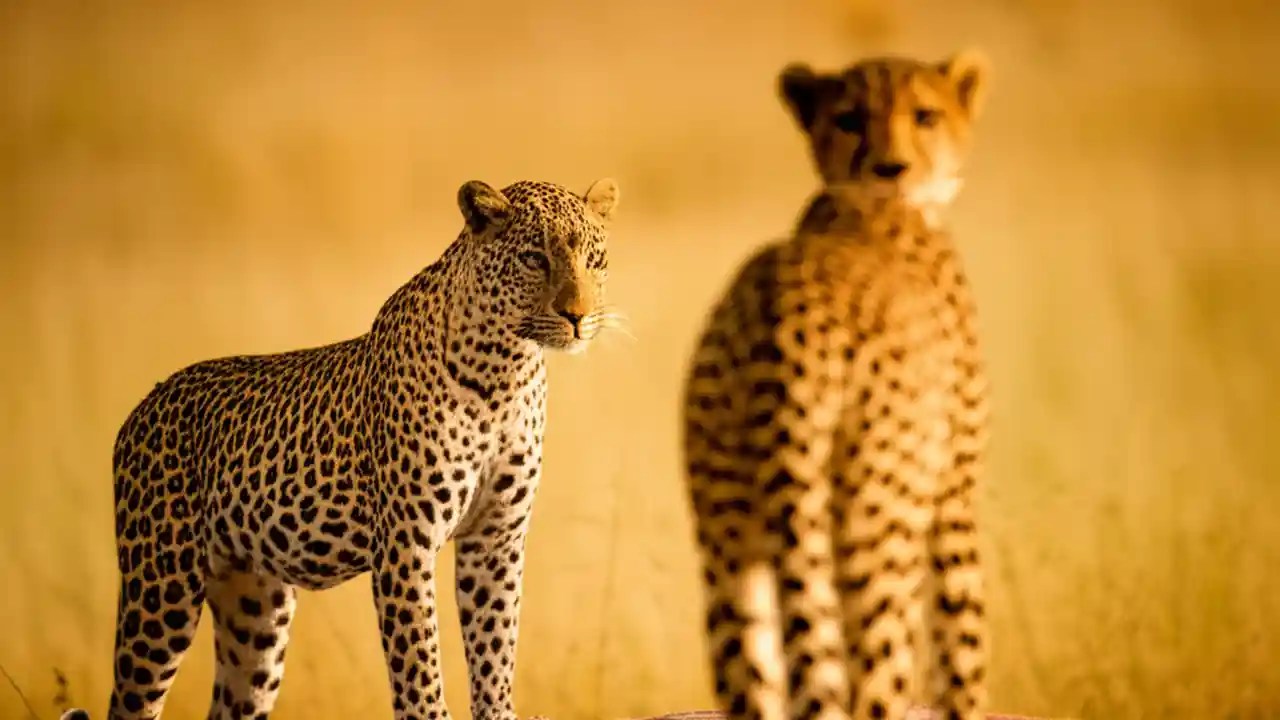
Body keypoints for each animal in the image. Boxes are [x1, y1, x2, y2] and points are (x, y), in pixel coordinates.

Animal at [68, 177, 621, 720]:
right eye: (534, 258)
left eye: (595, 260)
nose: (578, 317)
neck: (504, 374)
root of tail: (140, 409)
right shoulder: (405, 545)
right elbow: (419, 668)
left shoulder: (496, 539)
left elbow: (494, 653)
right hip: (161, 590)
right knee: (129, 701)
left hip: (255, 613)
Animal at [681, 50, 991, 720]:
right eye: (849, 118)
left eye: (925, 115)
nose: (891, 167)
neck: (875, 206)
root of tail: (782, 314)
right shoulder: (954, 494)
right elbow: (962, 646)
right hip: (879, 529)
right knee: (876, 678)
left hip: (729, 546)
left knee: (754, 672)